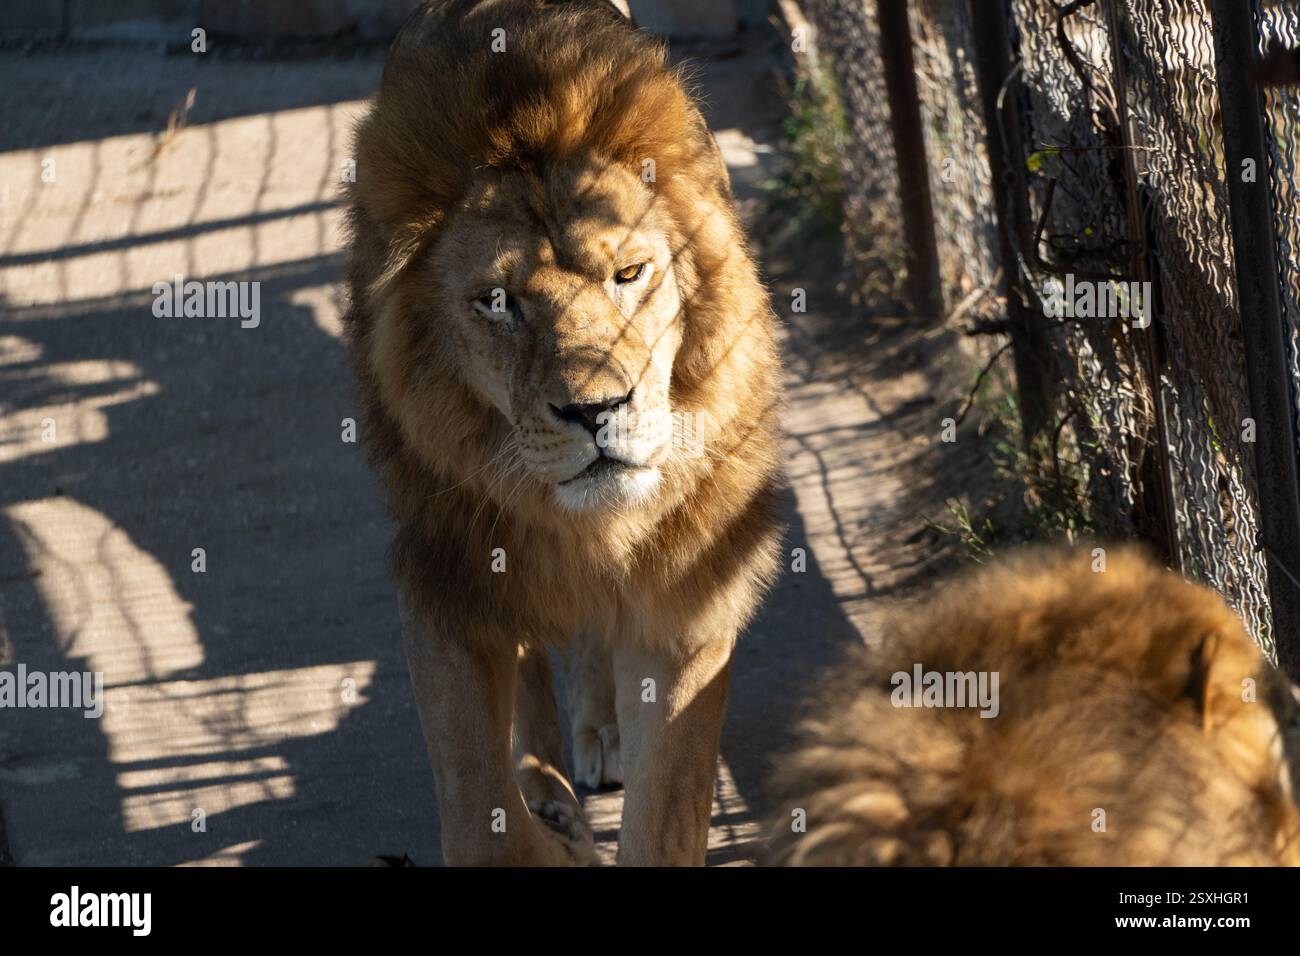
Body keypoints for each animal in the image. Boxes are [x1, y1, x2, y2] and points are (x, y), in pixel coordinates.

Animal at [344, 0, 782, 865]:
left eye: (629, 274)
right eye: (497, 302)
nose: (595, 410)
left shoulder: (690, 598)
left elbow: (666, 810)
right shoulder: (442, 575)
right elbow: (477, 803)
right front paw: (550, 830)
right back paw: (550, 784)